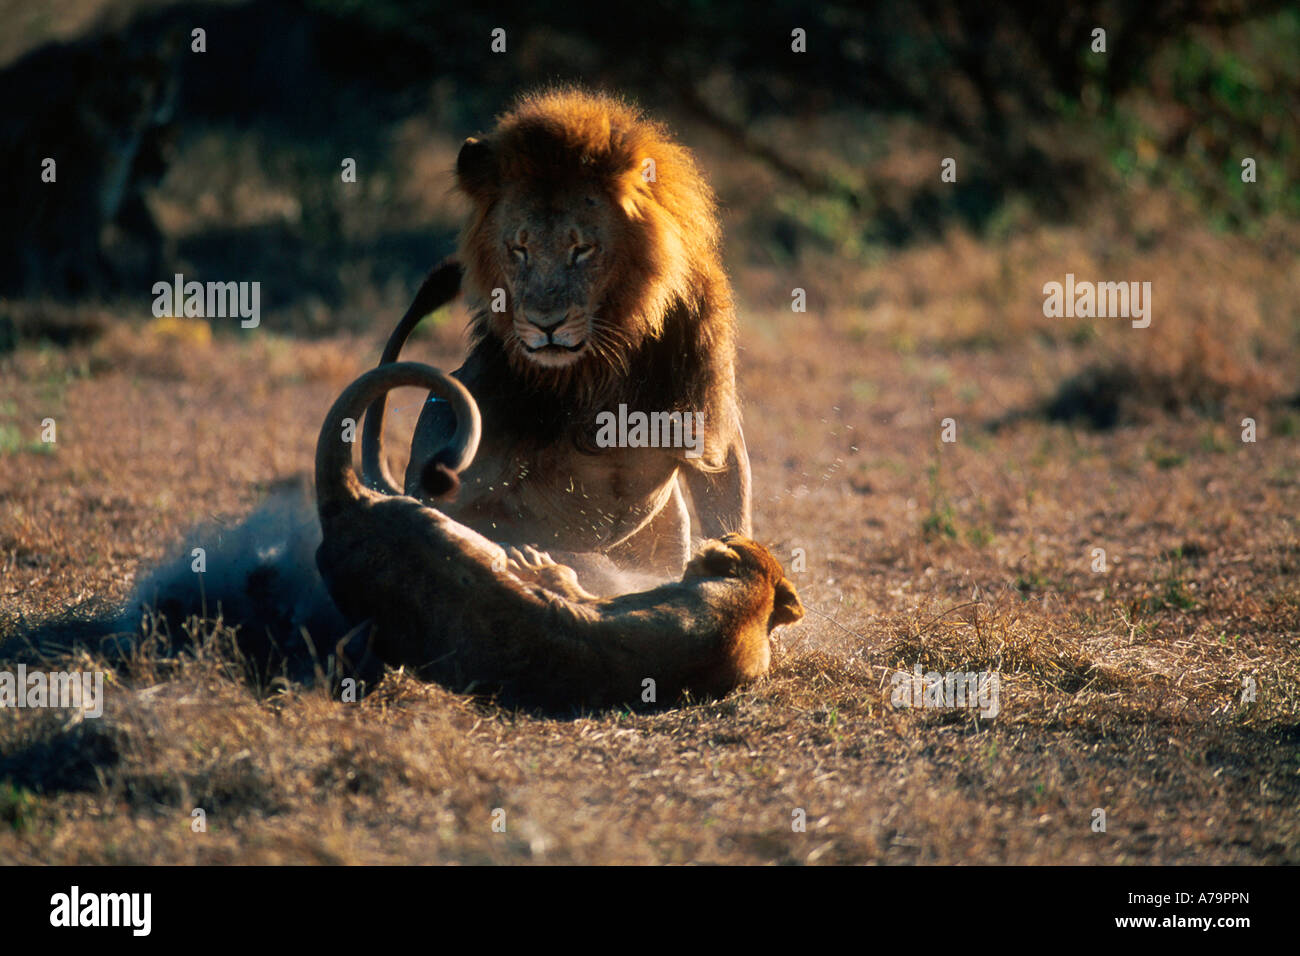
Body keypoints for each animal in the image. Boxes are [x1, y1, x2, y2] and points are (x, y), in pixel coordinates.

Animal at [360, 88, 750, 586]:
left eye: (581, 249)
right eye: (518, 249)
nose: (545, 324)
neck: (607, 362)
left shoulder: (714, 433)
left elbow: (731, 518)